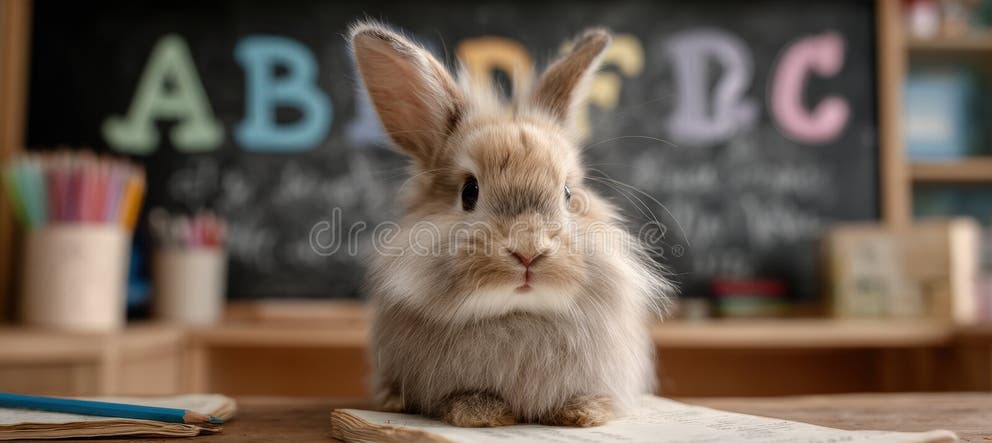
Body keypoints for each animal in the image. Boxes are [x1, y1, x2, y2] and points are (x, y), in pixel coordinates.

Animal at [349, 20, 671, 428]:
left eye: (568, 194)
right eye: (469, 192)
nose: (528, 251)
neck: (518, 314)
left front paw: (584, 413)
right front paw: (481, 413)